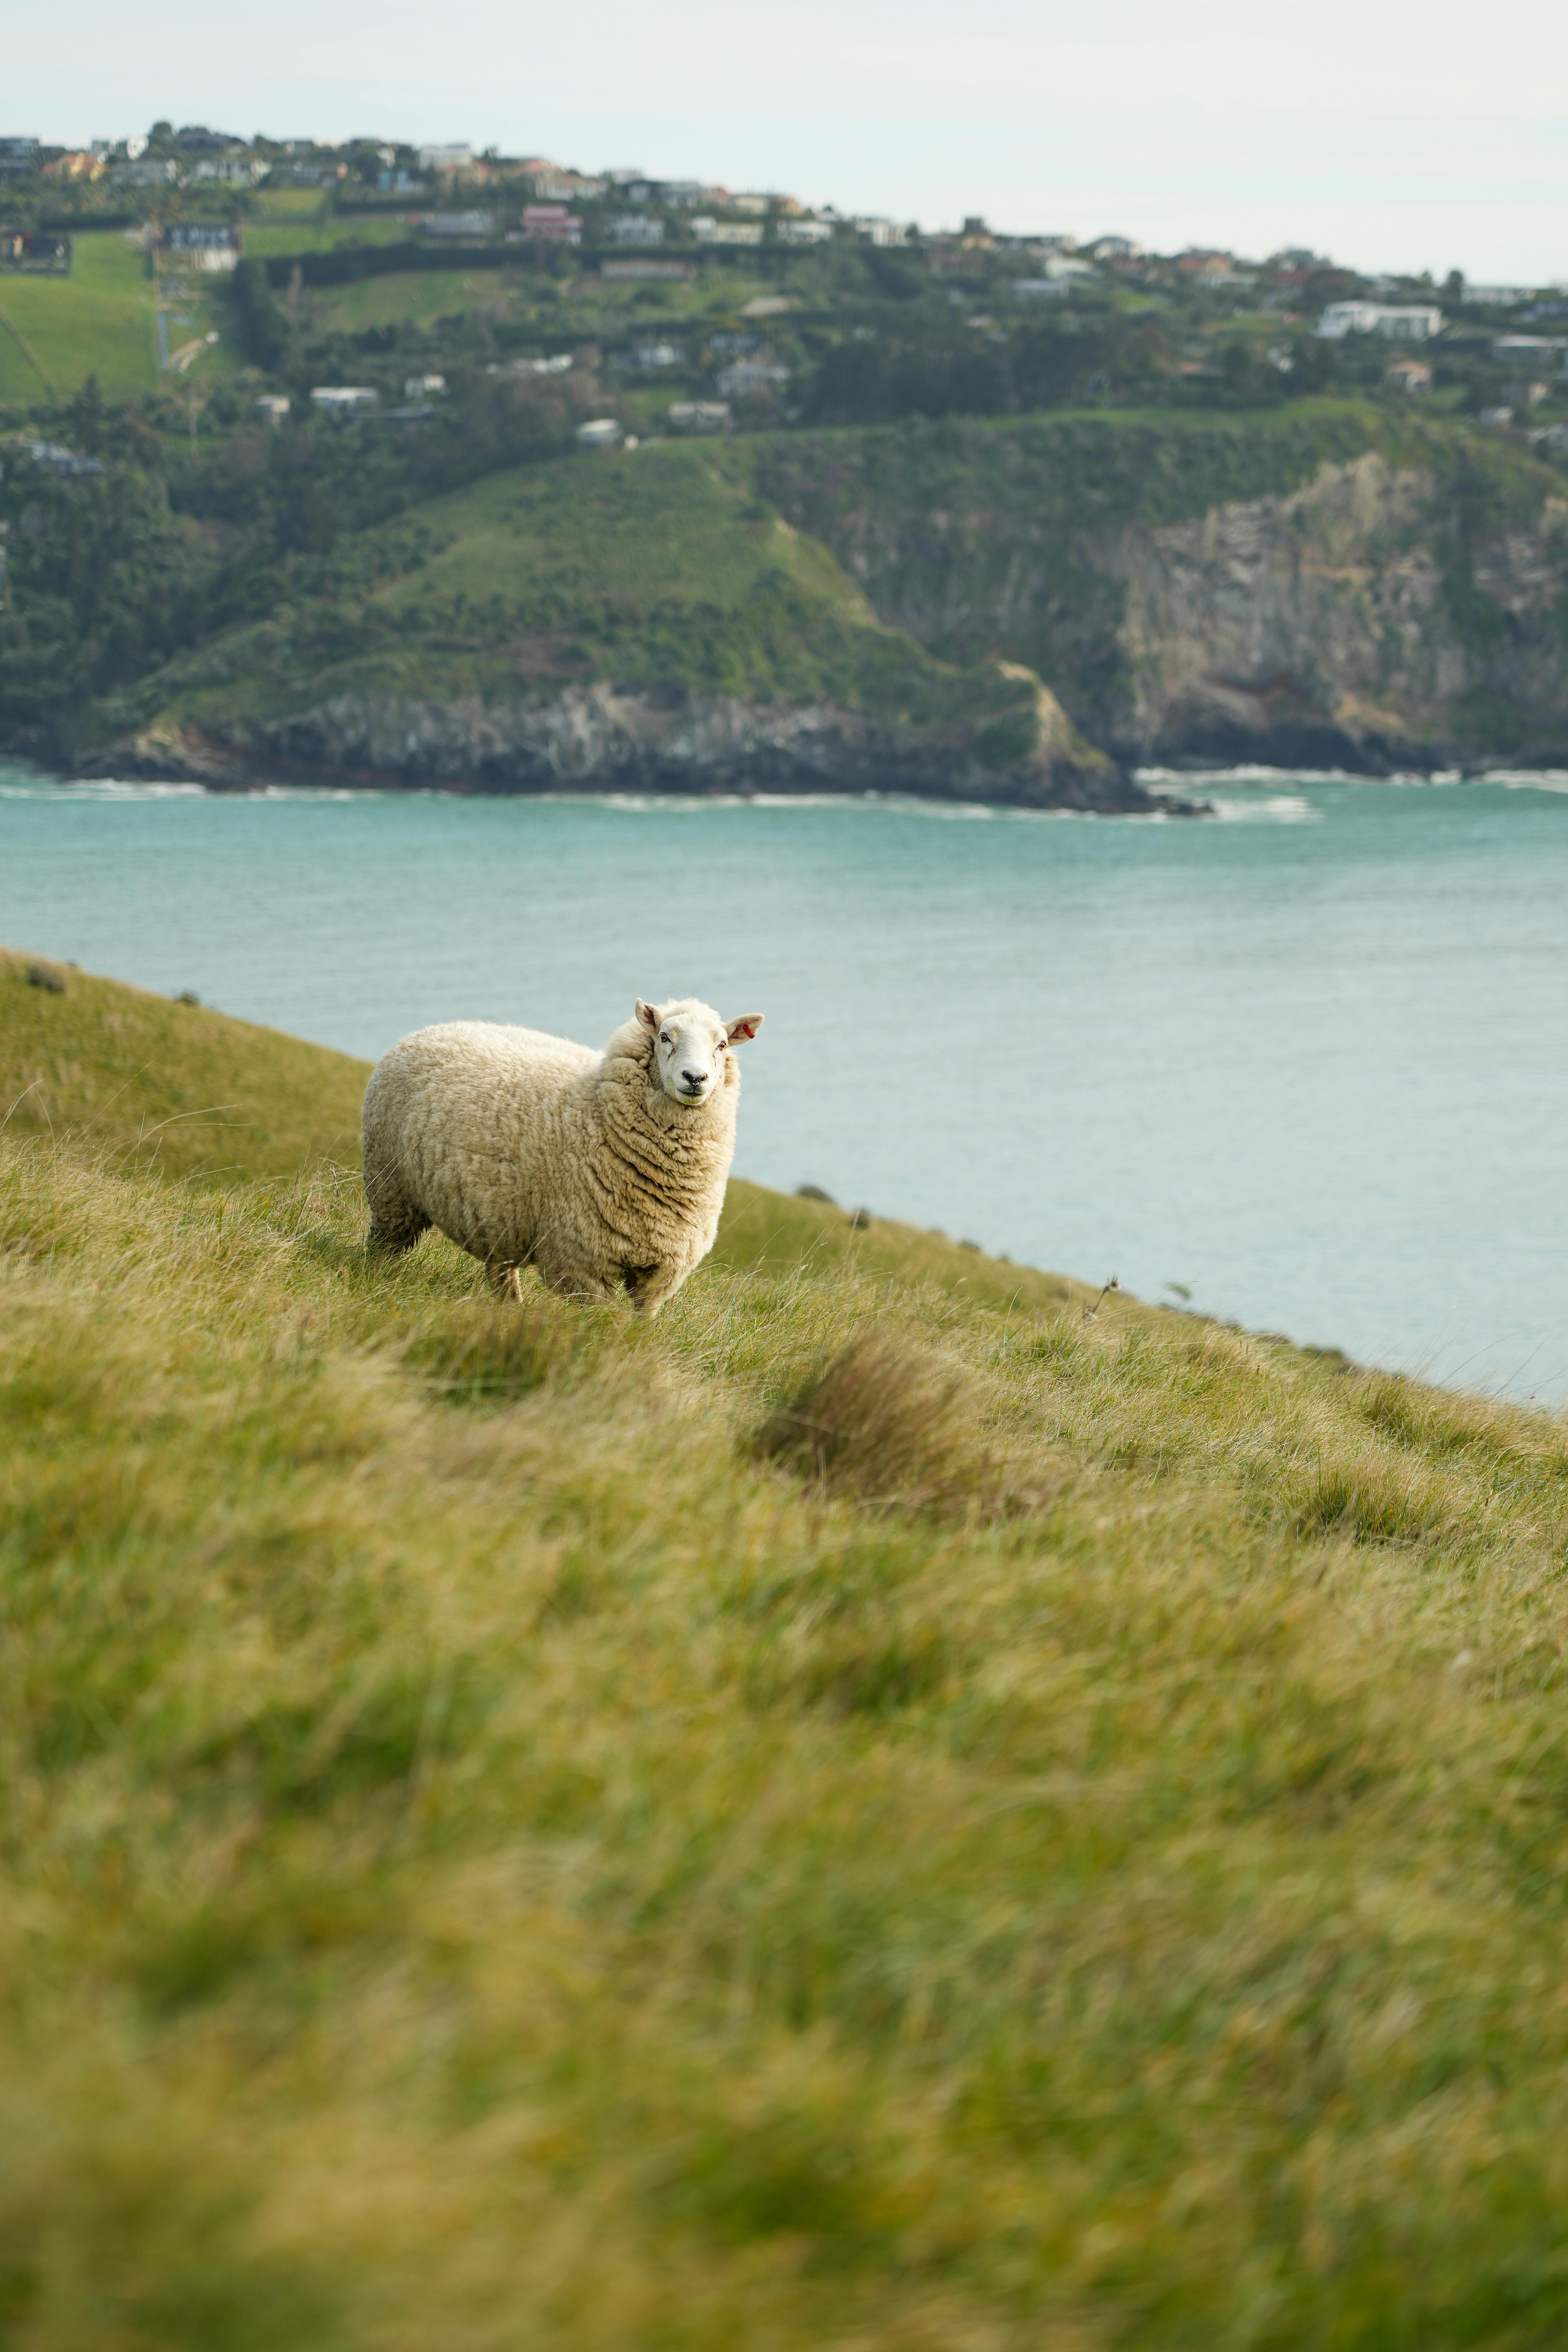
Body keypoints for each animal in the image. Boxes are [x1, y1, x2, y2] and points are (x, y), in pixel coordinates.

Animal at [362, 997, 764, 1313]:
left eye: (722, 1045)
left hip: (498, 1215)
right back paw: (376, 1282)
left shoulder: (660, 1273)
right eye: (665, 1037)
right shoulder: (583, 1263)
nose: (694, 1078)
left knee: (501, 1271)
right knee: (383, 1245)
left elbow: (642, 1322)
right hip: (391, 1188)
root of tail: (424, 1031)